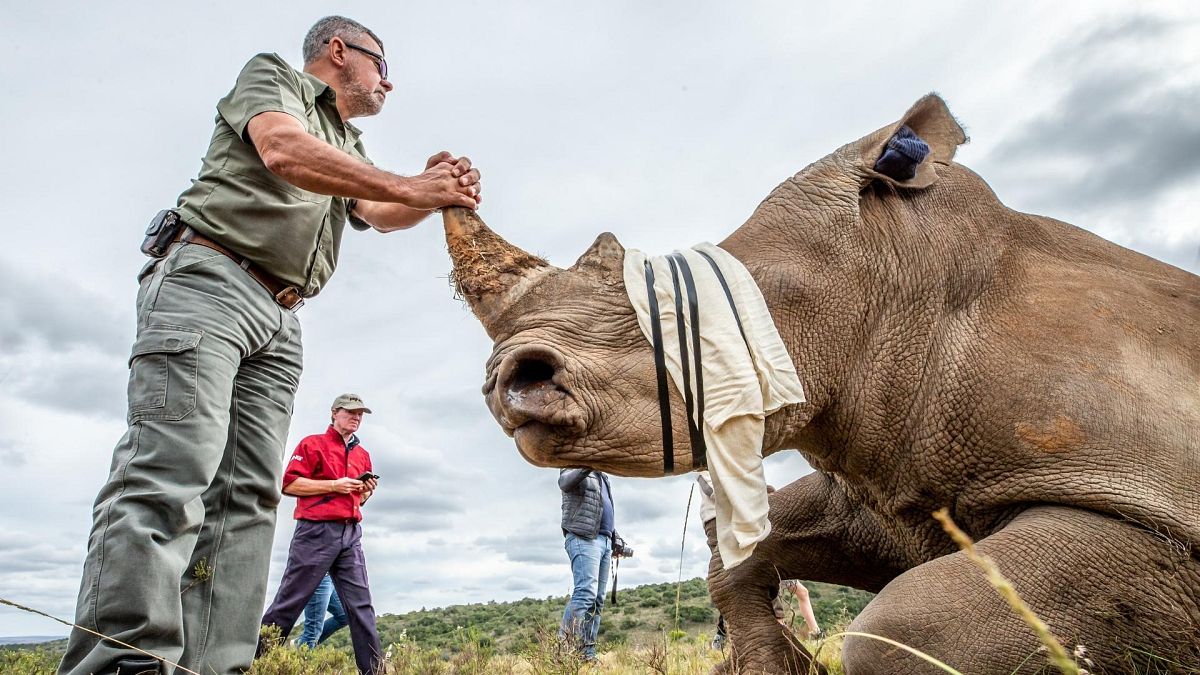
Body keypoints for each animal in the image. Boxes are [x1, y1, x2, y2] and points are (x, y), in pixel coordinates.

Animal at [444, 94, 1200, 673]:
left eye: (686, 312)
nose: (507, 381)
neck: (905, 285)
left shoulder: (1145, 498)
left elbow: (908, 626)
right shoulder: (886, 465)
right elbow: (742, 551)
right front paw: (765, 666)